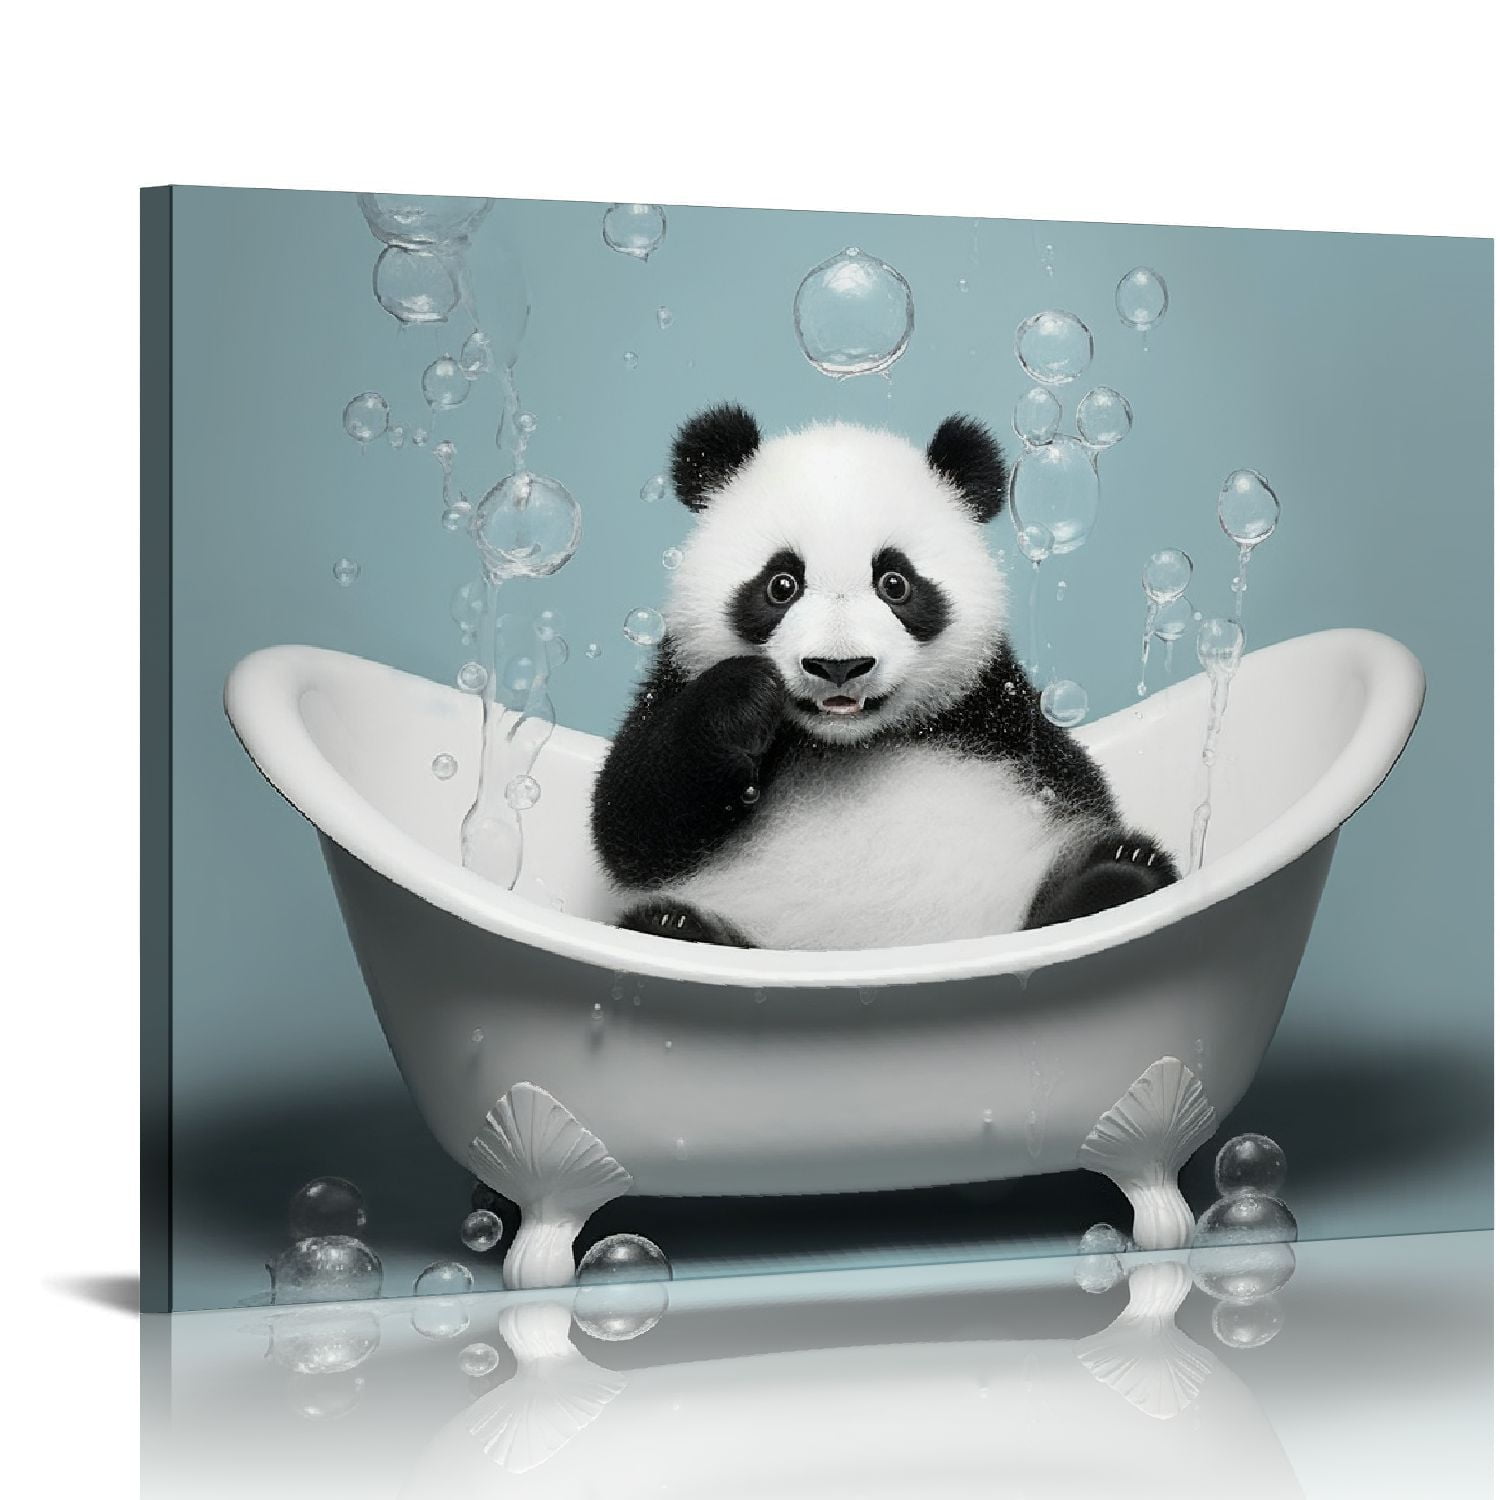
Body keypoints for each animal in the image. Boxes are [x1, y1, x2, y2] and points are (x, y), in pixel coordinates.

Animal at [590, 403, 1178, 949]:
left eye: (895, 583)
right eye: (781, 584)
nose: (839, 666)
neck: (846, 744)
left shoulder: (999, 710)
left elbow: (1086, 793)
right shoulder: (674, 675)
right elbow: (631, 821)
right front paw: (743, 700)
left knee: (1120, 871)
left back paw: (1113, 876)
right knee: (655, 921)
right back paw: (678, 928)